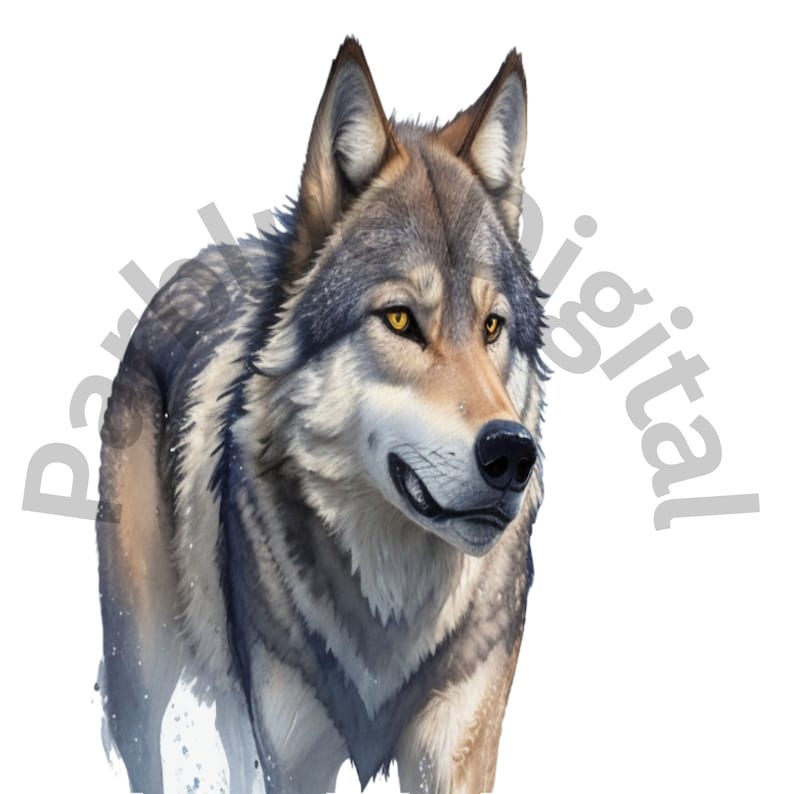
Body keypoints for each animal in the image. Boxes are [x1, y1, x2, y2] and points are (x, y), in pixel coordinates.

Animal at [96, 37, 548, 794]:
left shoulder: (459, 749)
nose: (511, 454)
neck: (392, 612)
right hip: (143, 678)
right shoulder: (296, 755)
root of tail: (195, 264)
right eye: (399, 319)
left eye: (492, 326)